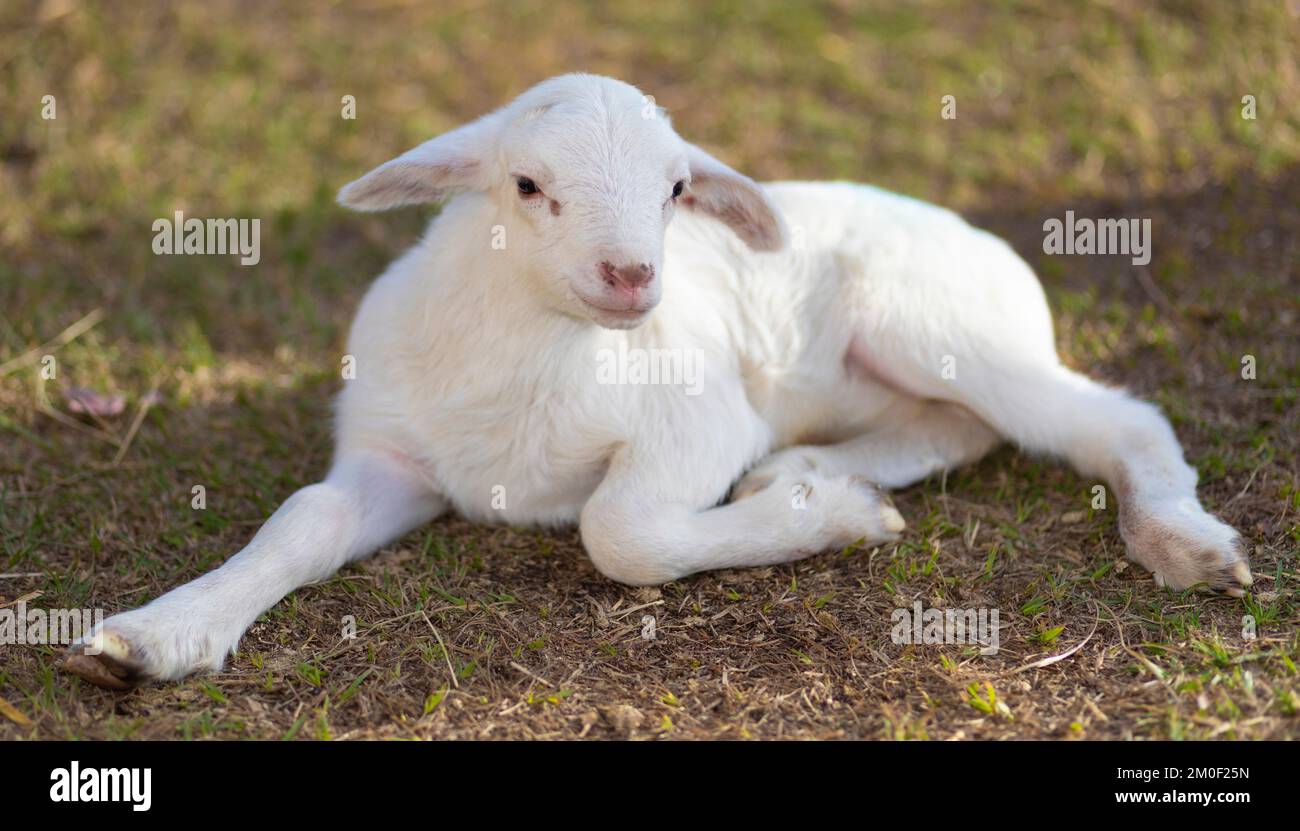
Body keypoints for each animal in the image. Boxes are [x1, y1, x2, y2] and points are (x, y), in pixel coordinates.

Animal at [64, 73, 1251, 689]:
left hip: (939, 323)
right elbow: (303, 521)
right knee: (959, 430)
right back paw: (820, 470)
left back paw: (1182, 543)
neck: (534, 353)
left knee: (1108, 420)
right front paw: (155, 635)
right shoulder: (392, 456)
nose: (633, 276)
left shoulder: (698, 423)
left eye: (678, 188)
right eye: (526, 185)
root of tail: (979, 237)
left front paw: (829, 525)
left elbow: (619, 532)